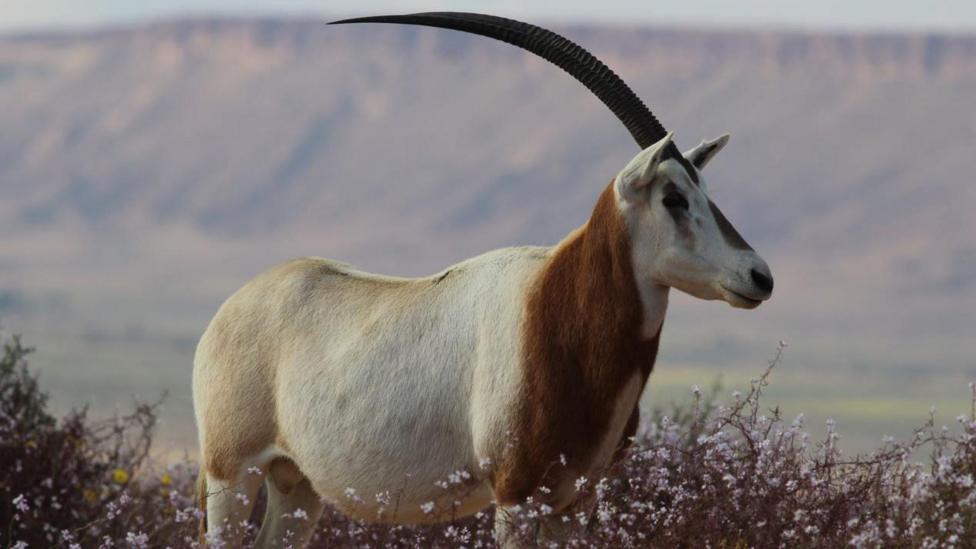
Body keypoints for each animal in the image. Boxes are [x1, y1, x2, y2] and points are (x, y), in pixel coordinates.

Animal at [193, 12, 774, 547]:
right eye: (673, 197)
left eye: (705, 192)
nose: (759, 276)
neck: (553, 305)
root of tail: (228, 311)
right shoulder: (516, 494)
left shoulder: (572, 501)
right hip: (232, 473)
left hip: (297, 482)